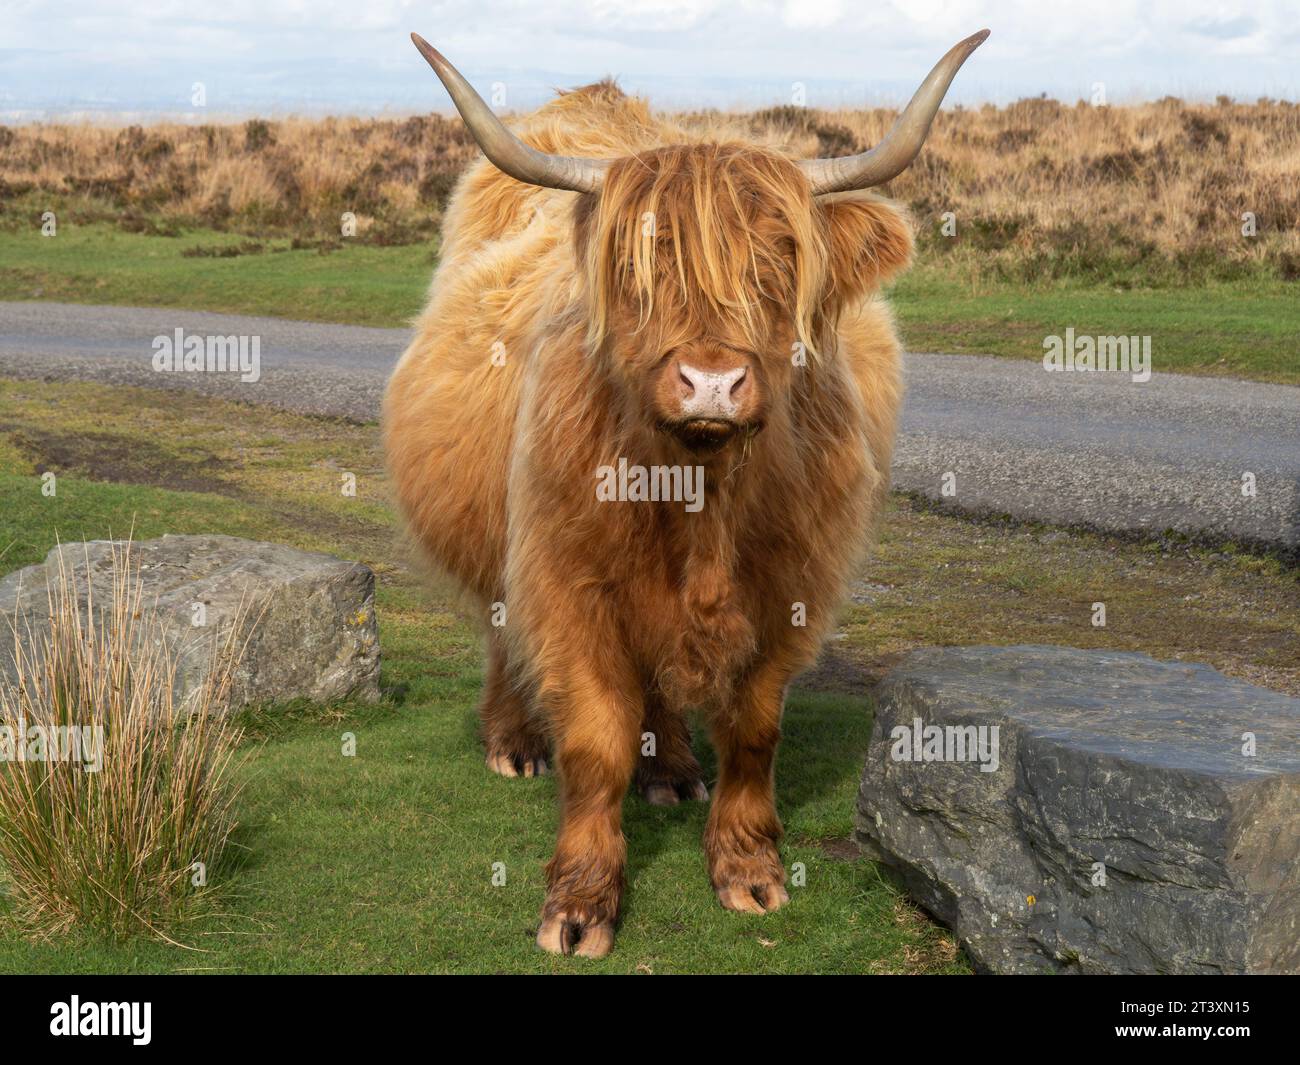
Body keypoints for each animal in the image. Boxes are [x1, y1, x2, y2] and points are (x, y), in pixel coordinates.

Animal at [383, 29, 987, 958]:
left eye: (778, 260)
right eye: (639, 264)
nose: (711, 382)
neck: (699, 494)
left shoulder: (790, 588)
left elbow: (755, 729)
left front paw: (748, 869)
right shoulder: (567, 579)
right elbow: (594, 740)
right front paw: (580, 904)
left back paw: (670, 769)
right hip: (497, 538)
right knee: (499, 630)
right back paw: (513, 740)